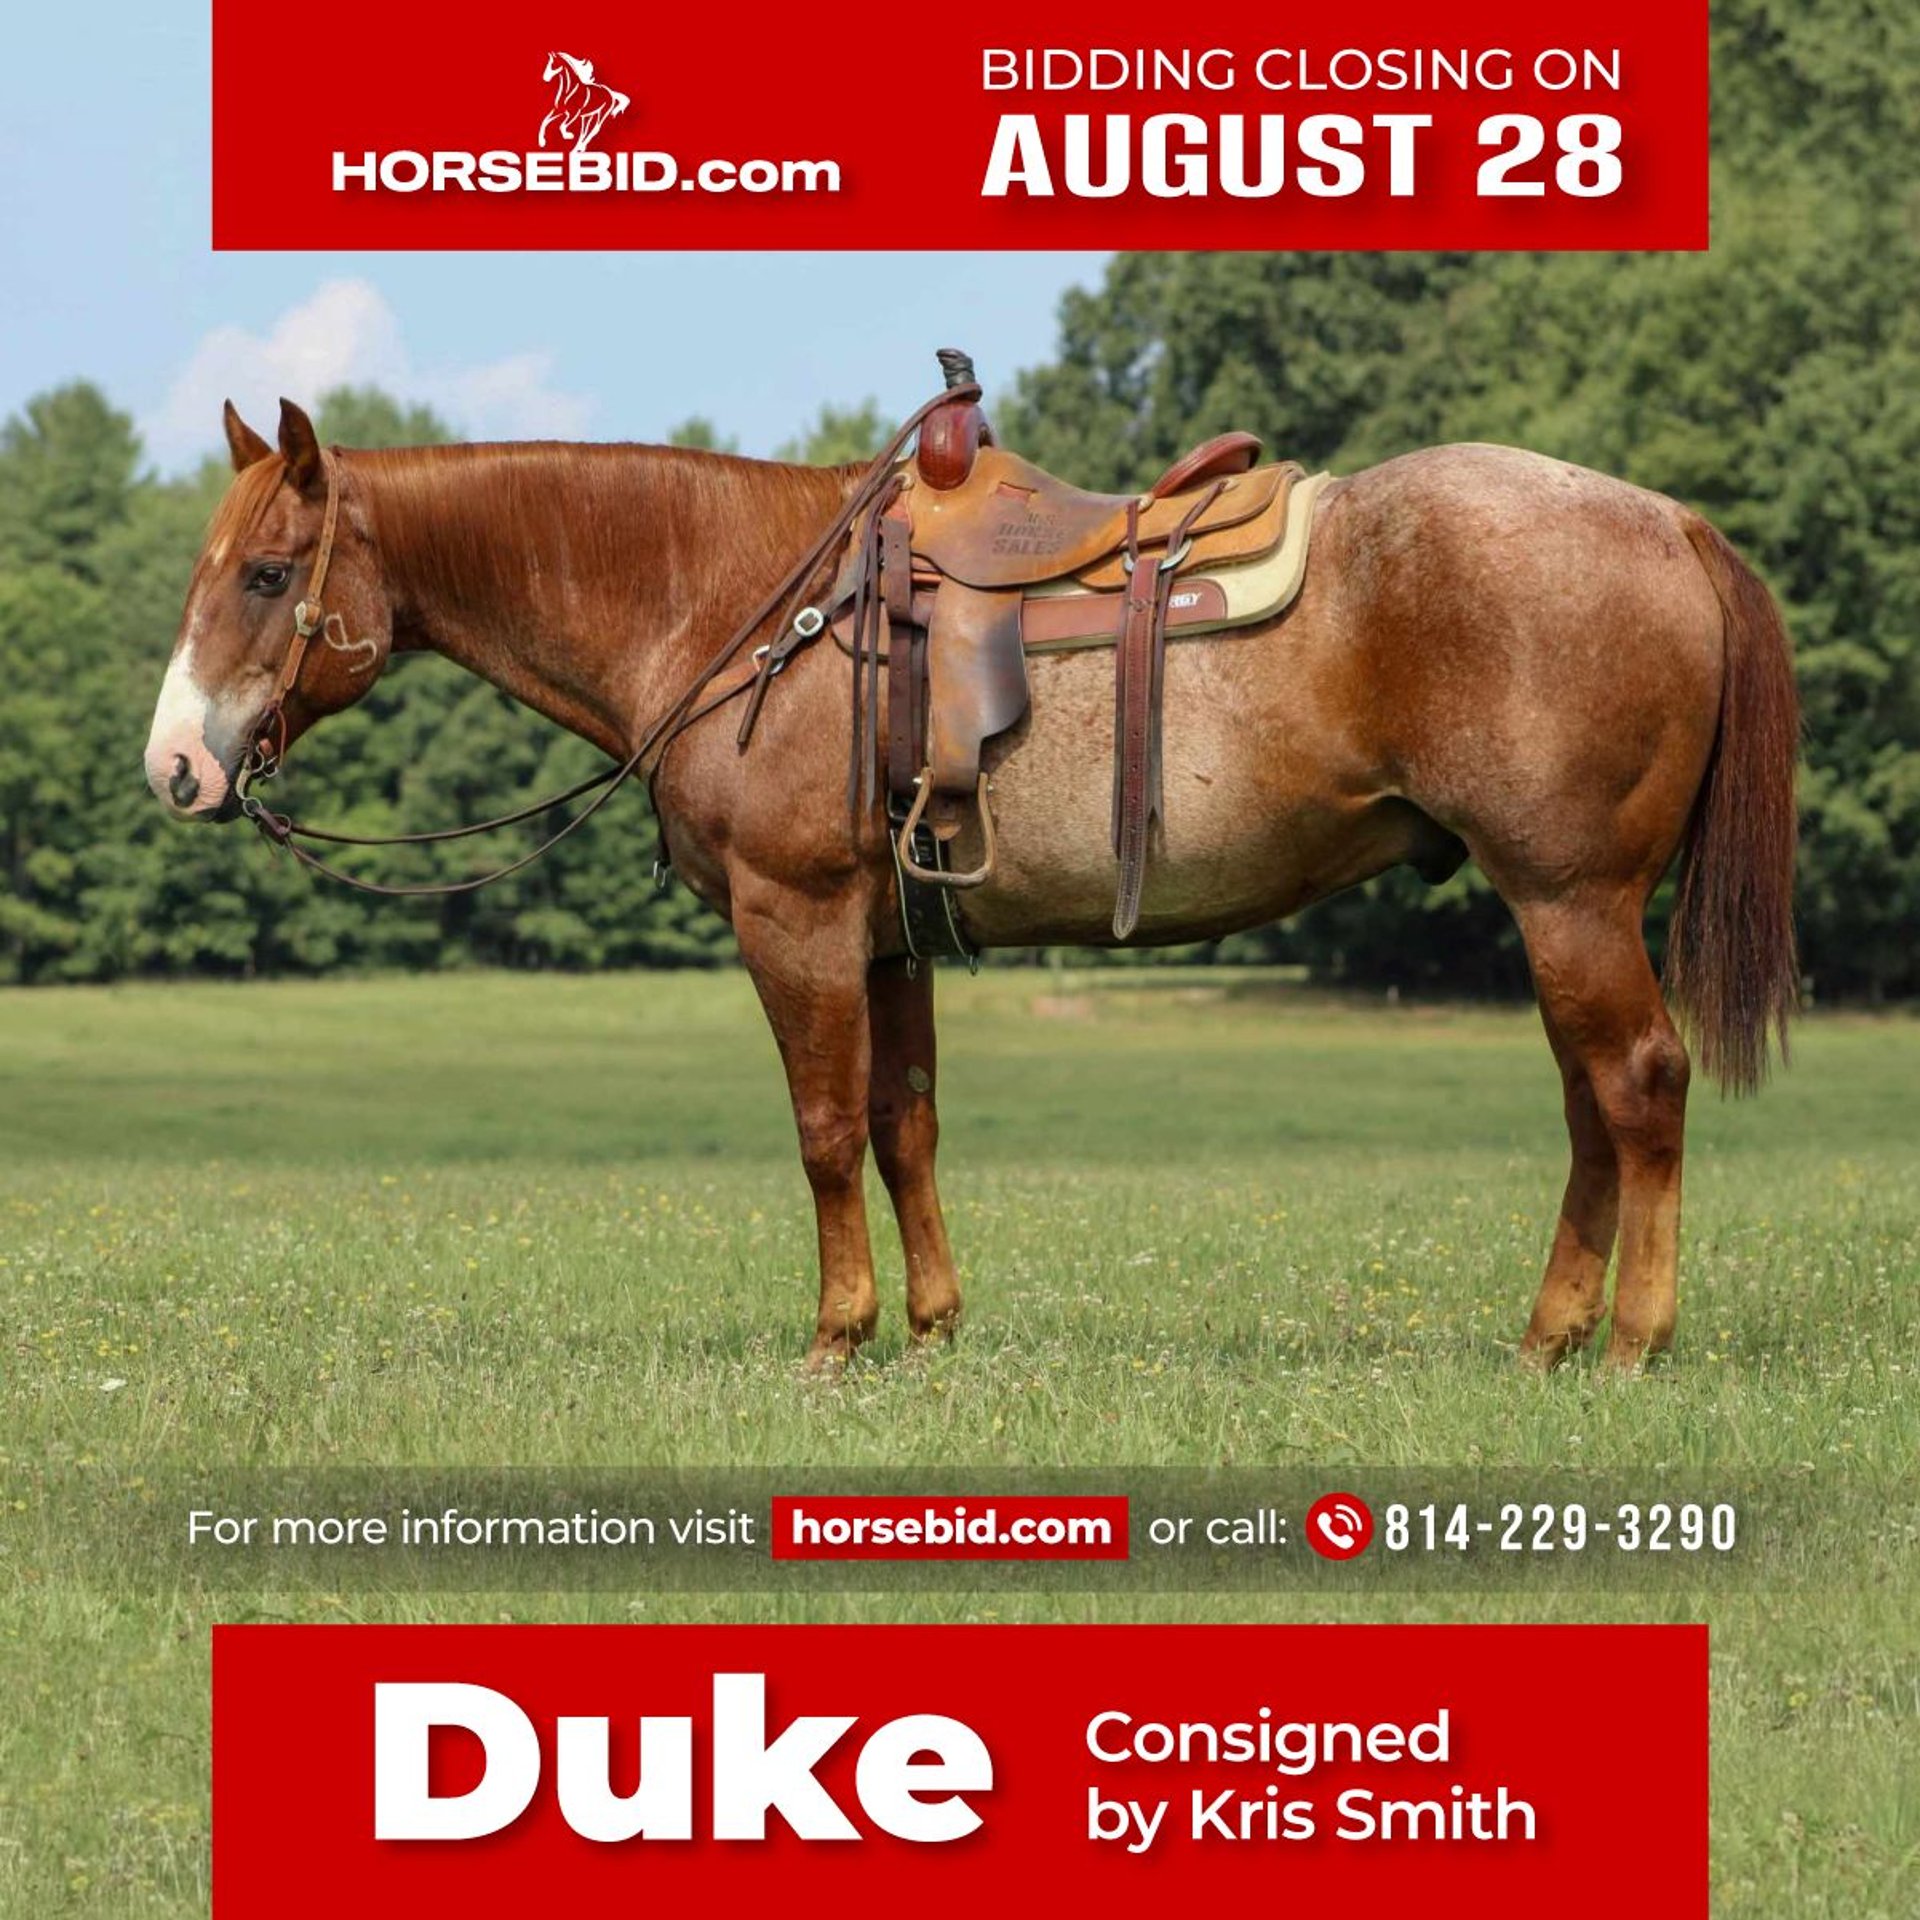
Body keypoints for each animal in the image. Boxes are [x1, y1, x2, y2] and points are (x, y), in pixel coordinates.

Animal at [144, 395, 1798, 1373]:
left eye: (268, 576)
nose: (176, 768)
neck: (736, 608)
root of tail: (1669, 520)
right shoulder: (888, 941)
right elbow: (905, 1127)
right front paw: (933, 1331)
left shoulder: (797, 922)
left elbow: (824, 1133)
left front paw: (838, 1337)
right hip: (1559, 907)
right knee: (1591, 1103)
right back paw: (1550, 1336)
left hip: (1569, 896)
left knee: (1637, 1084)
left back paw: (1633, 1340)